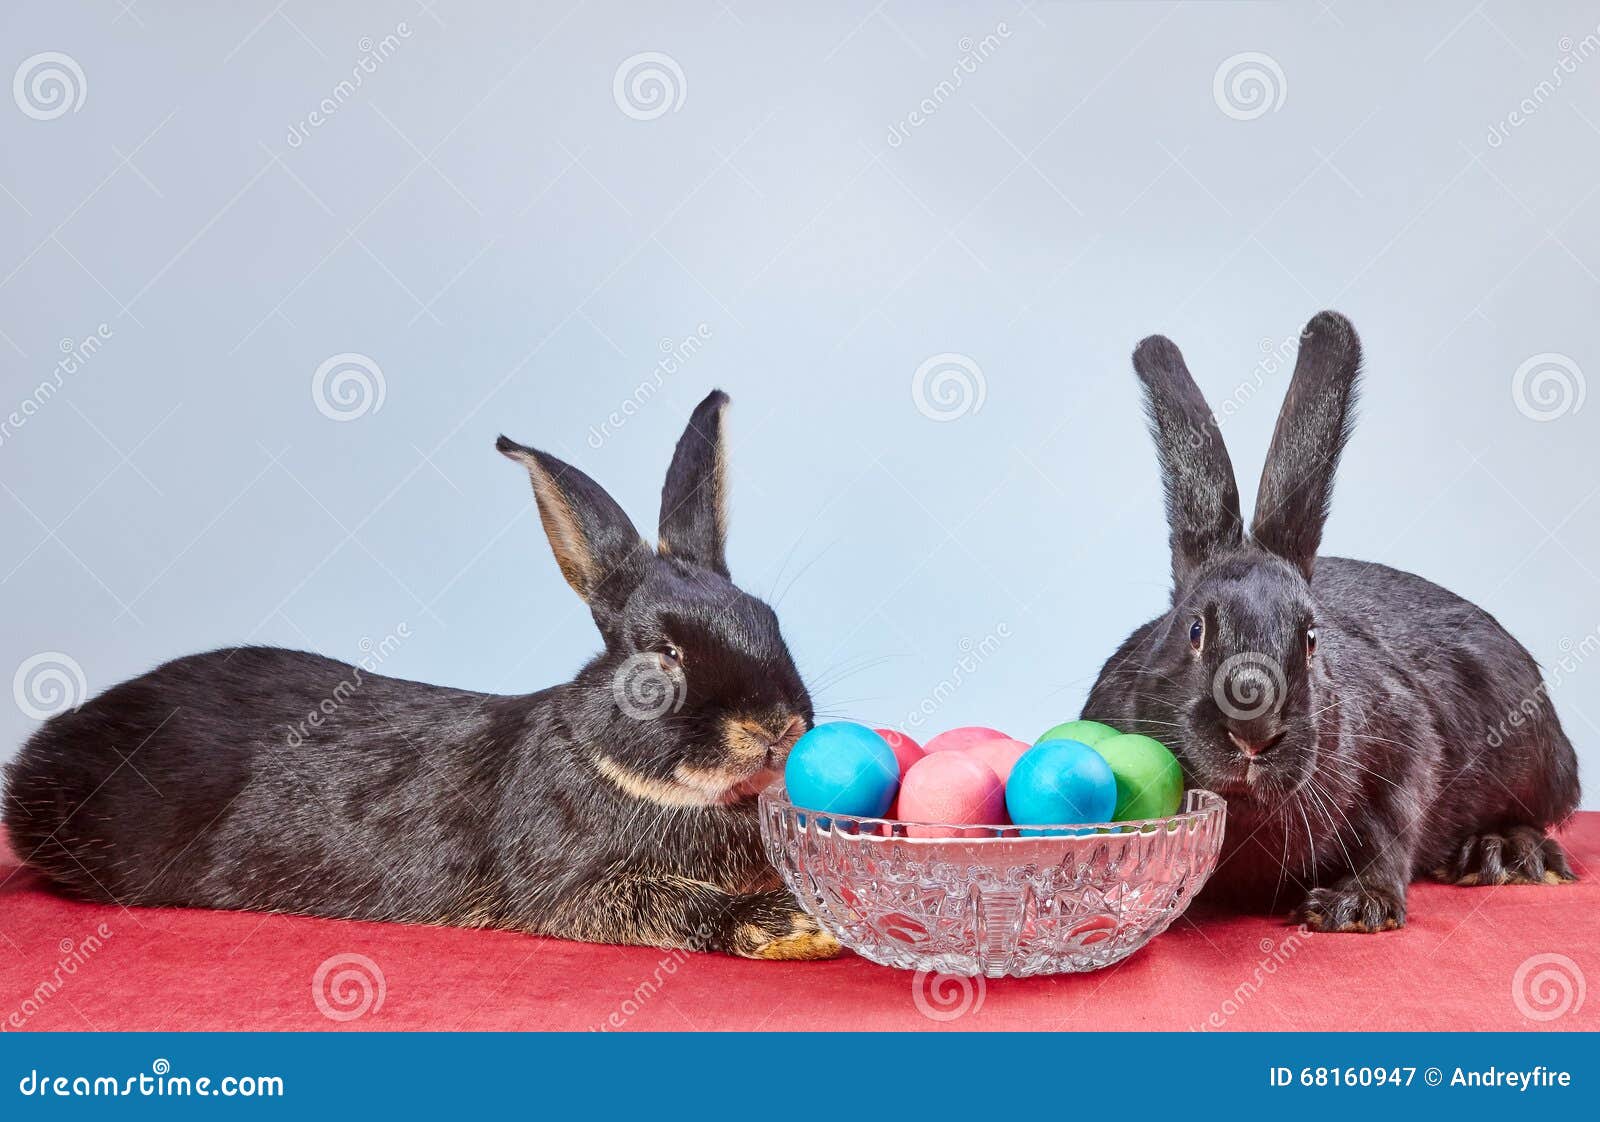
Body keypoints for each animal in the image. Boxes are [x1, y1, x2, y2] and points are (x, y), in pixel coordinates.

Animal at [3, 390, 840, 961]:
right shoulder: (572, 886)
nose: (777, 727)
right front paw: (793, 924)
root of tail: (46, 747)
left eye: (767, 617)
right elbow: (673, 909)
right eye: (659, 654)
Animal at [1082, 311, 1581, 932]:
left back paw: (1505, 854)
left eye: (1312, 639)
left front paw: (1356, 907)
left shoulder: (1403, 753)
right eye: (1195, 630)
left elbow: (1390, 836)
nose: (1252, 732)